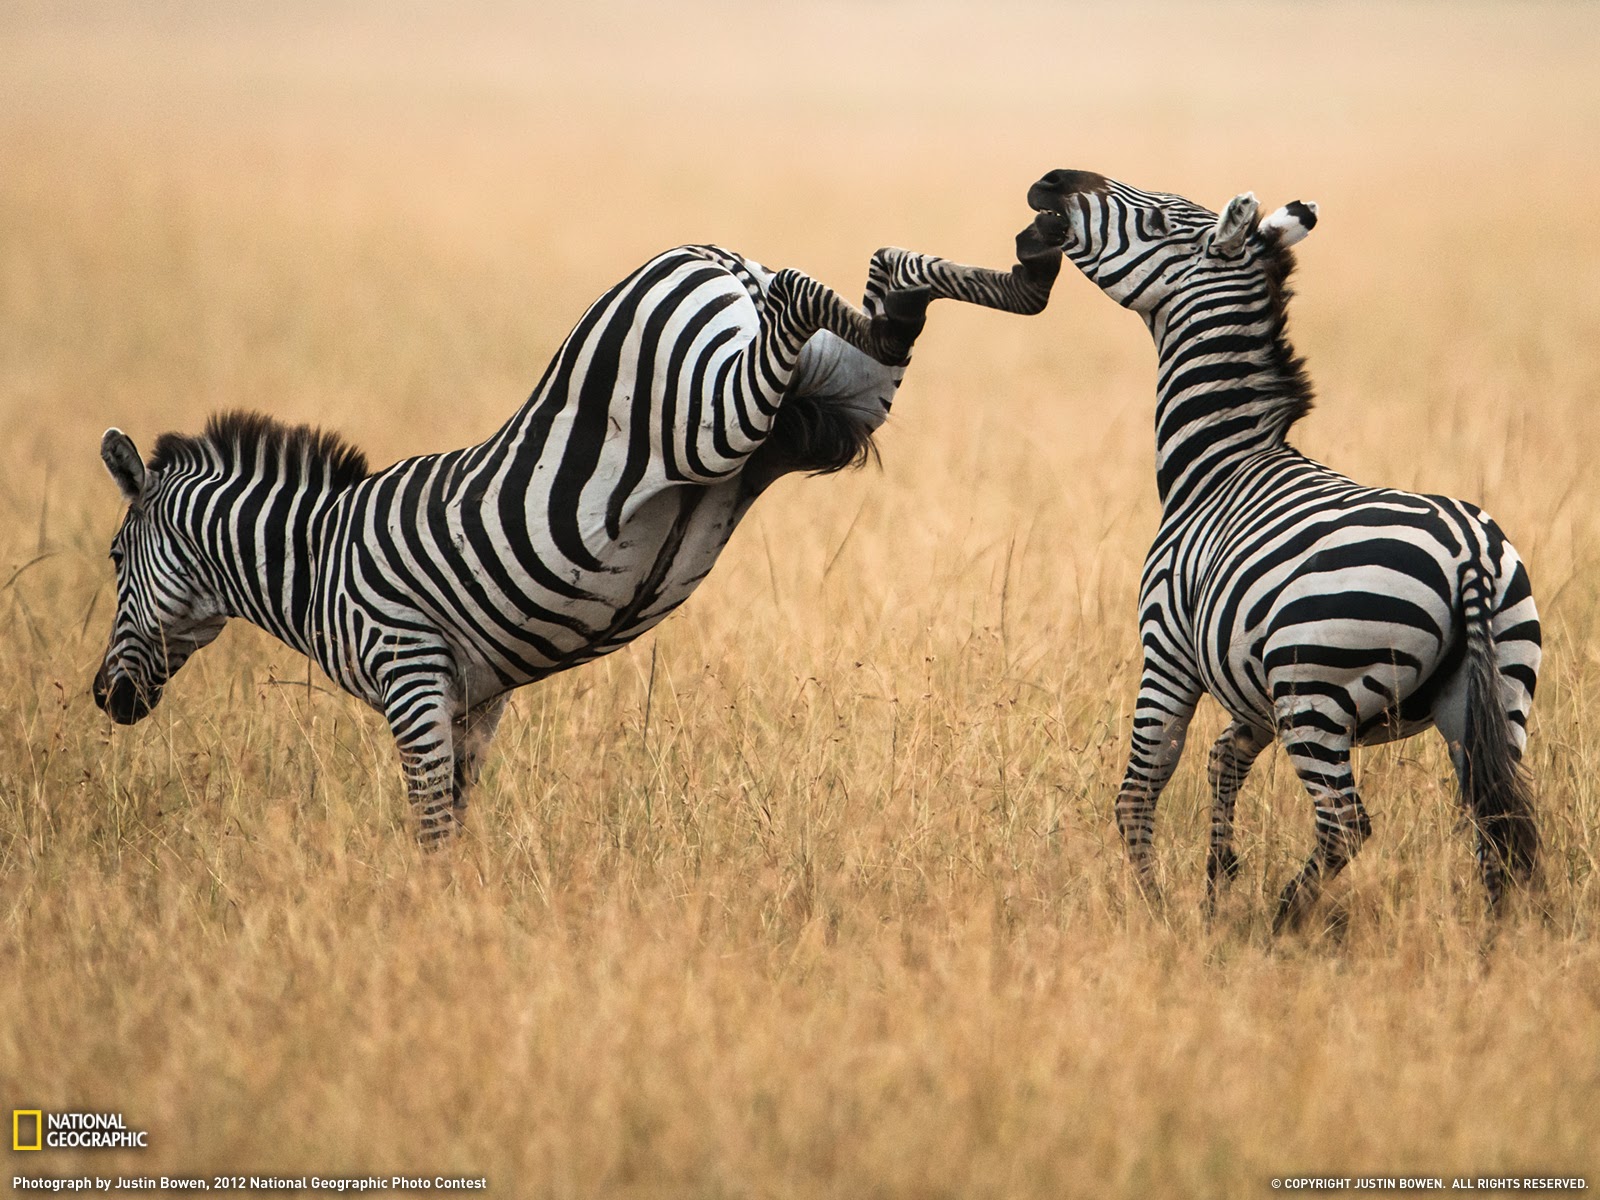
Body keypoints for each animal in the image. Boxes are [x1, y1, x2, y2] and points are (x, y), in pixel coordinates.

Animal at [94, 228, 1063, 844]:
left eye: (110, 561)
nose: (105, 698)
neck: (315, 561)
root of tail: (713, 257)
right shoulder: (474, 700)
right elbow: (457, 821)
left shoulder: (409, 674)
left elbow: (428, 826)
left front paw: (427, 927)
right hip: (839, 400)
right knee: (889, 282)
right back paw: (1026, 271)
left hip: (710, 414)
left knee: (800, 287)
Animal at [1025, 169, 1540, 928]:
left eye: (1154, 222)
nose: (1051, 182)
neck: (1218, 464)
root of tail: (1467, 552)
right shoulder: (1250, 686)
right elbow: (1223, 761)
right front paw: (1216, 884)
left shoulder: (1169, 649)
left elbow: (1142, 787)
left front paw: (1157, 910)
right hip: (1496, 692)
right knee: (1496, 823)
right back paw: (1492, 941)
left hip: (1315, 689)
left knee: (1346, 823)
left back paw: (1282, 921)